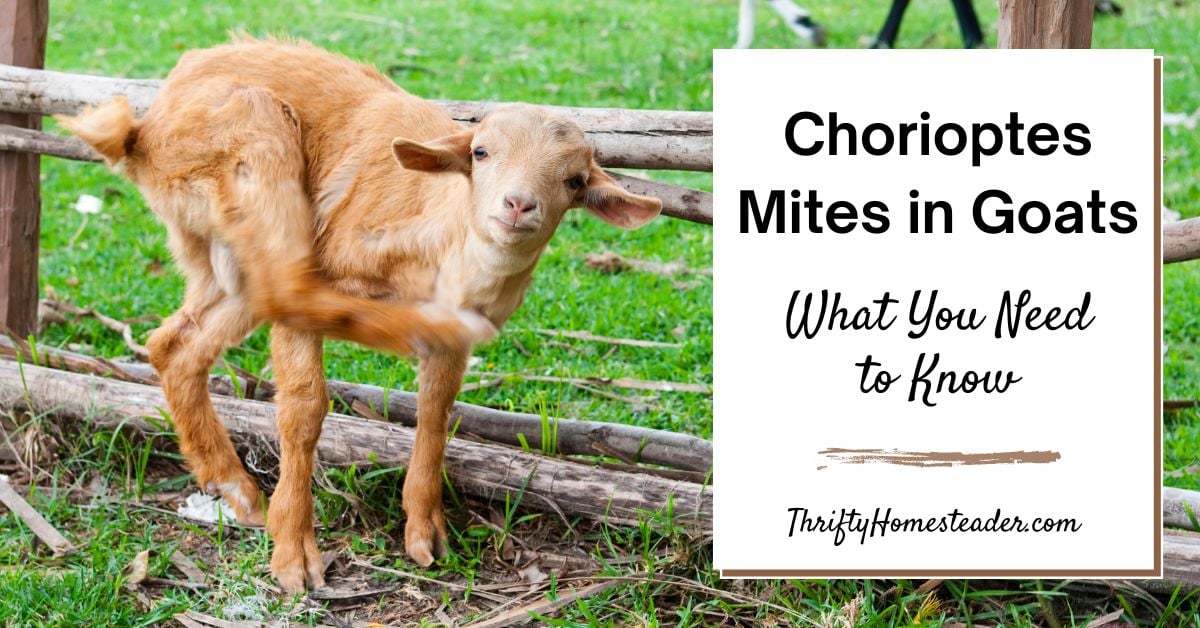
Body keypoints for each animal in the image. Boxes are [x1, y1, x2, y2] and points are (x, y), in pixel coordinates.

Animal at [58, 38, 662, 593]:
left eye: (575, 181)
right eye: (481, 153)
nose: (517, 205)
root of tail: (145, 128)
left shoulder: (454, 341)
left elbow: (436, 411)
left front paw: (425, 533)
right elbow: (304, 409)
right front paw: (295, 557)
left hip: (228, 256)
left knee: (175, 346)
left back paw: (235, 488)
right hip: (253, 146)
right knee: (284, 294)